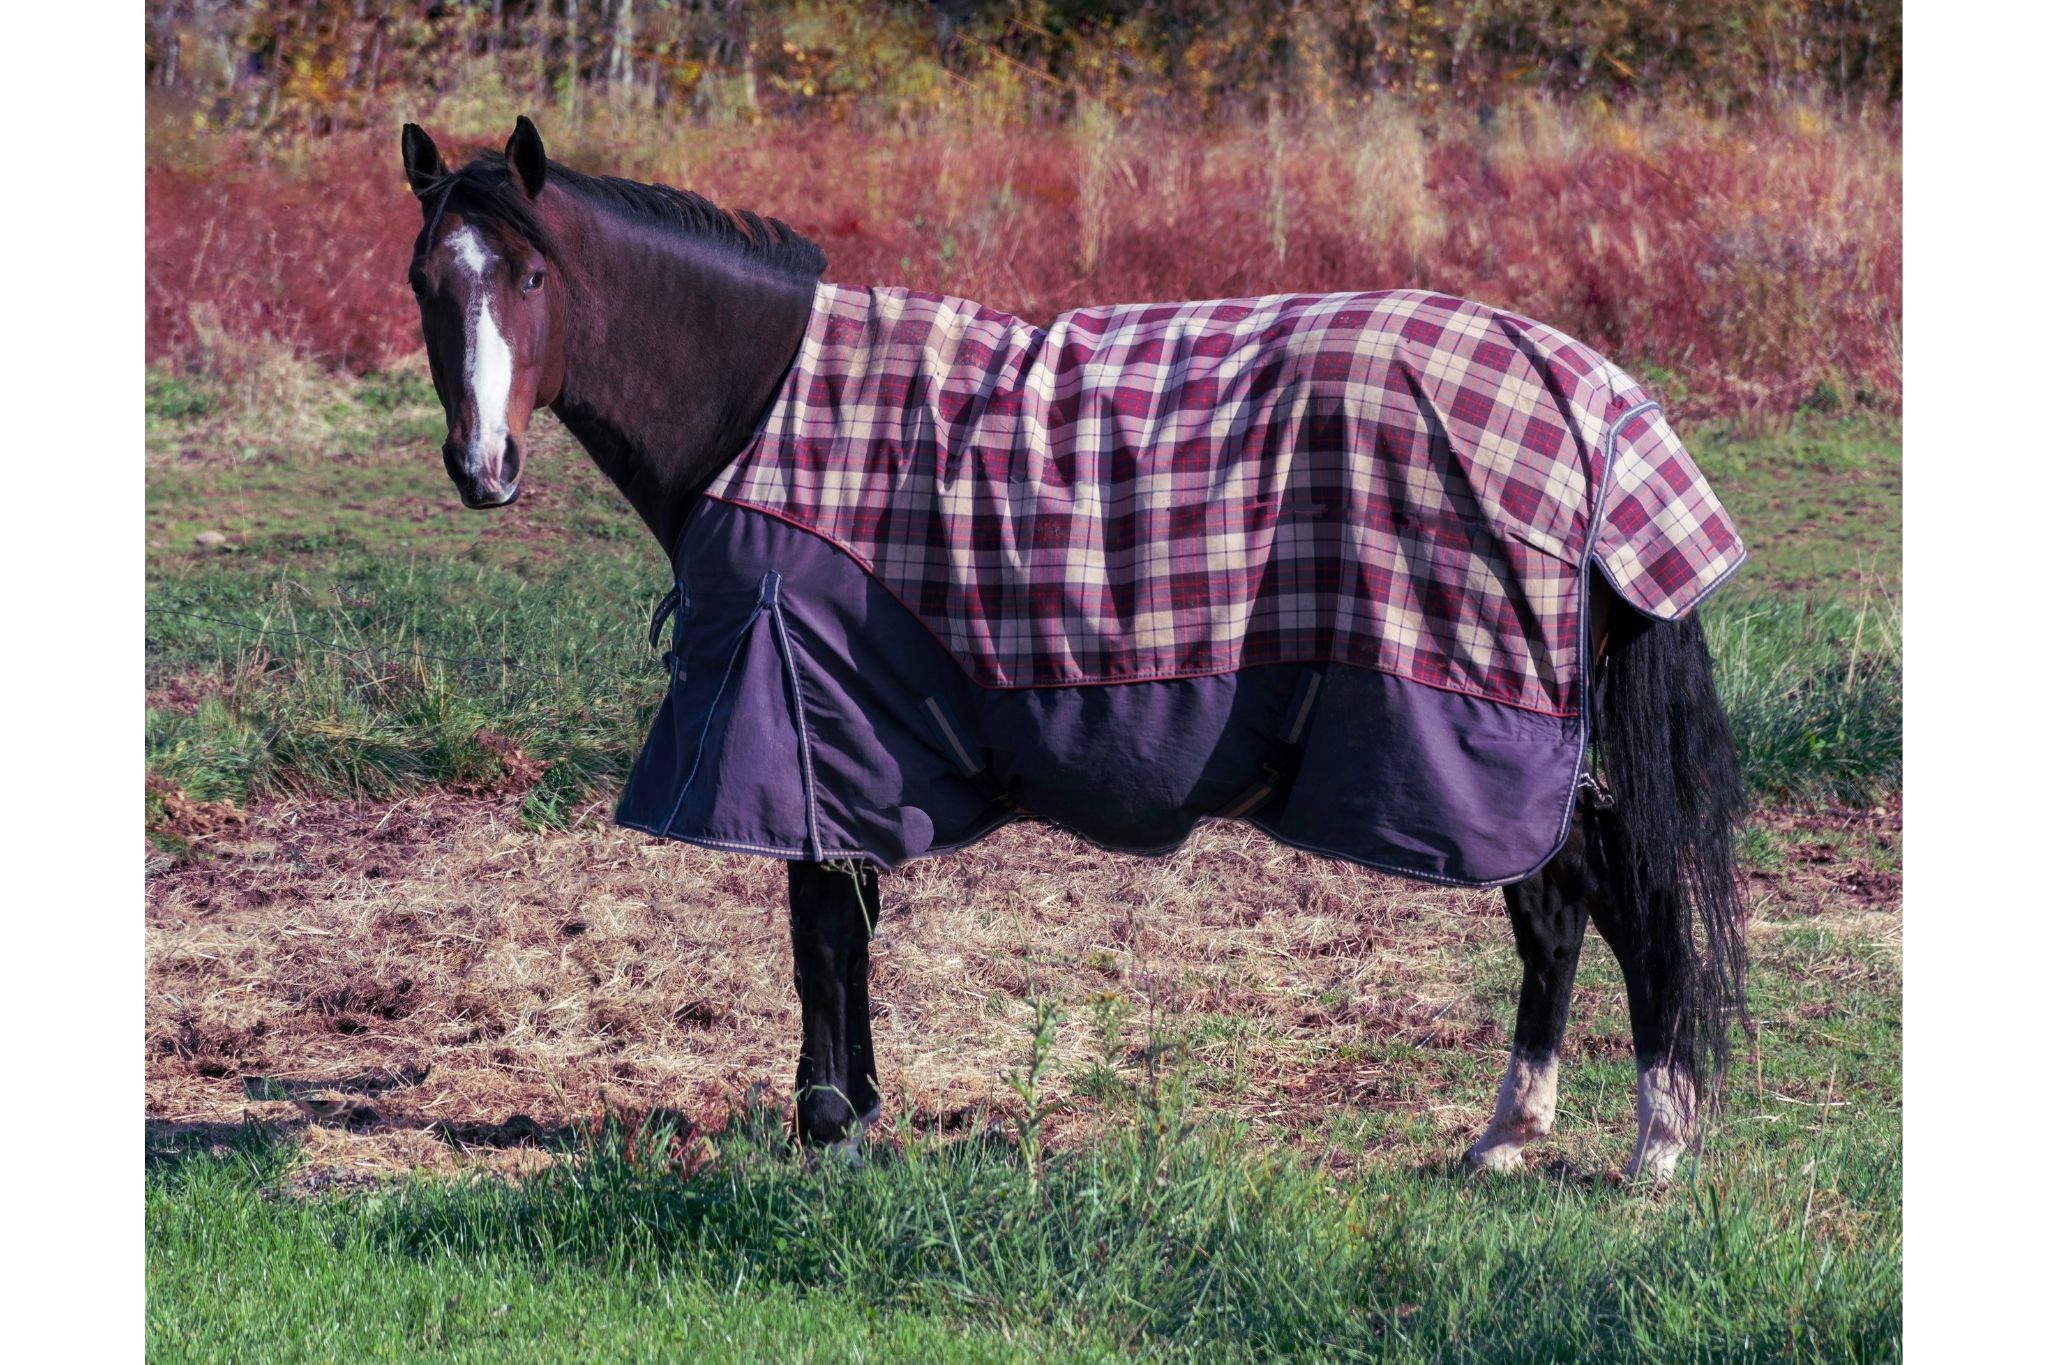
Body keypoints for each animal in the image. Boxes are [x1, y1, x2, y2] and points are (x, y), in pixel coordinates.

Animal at [400, 117, 1749, 1182]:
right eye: (424, 281)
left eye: (531, 274)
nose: (482, 469)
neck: (764, 410)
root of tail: (1587, 397)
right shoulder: (831, 743)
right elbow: (844, 930)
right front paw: (853, 1114)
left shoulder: (799, 725)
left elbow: (820, 936)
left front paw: (827, 1129)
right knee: (1559, 913)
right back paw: (1509, 1136)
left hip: (1501, 730)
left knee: (1621, 904)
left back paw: (1654, 1146)